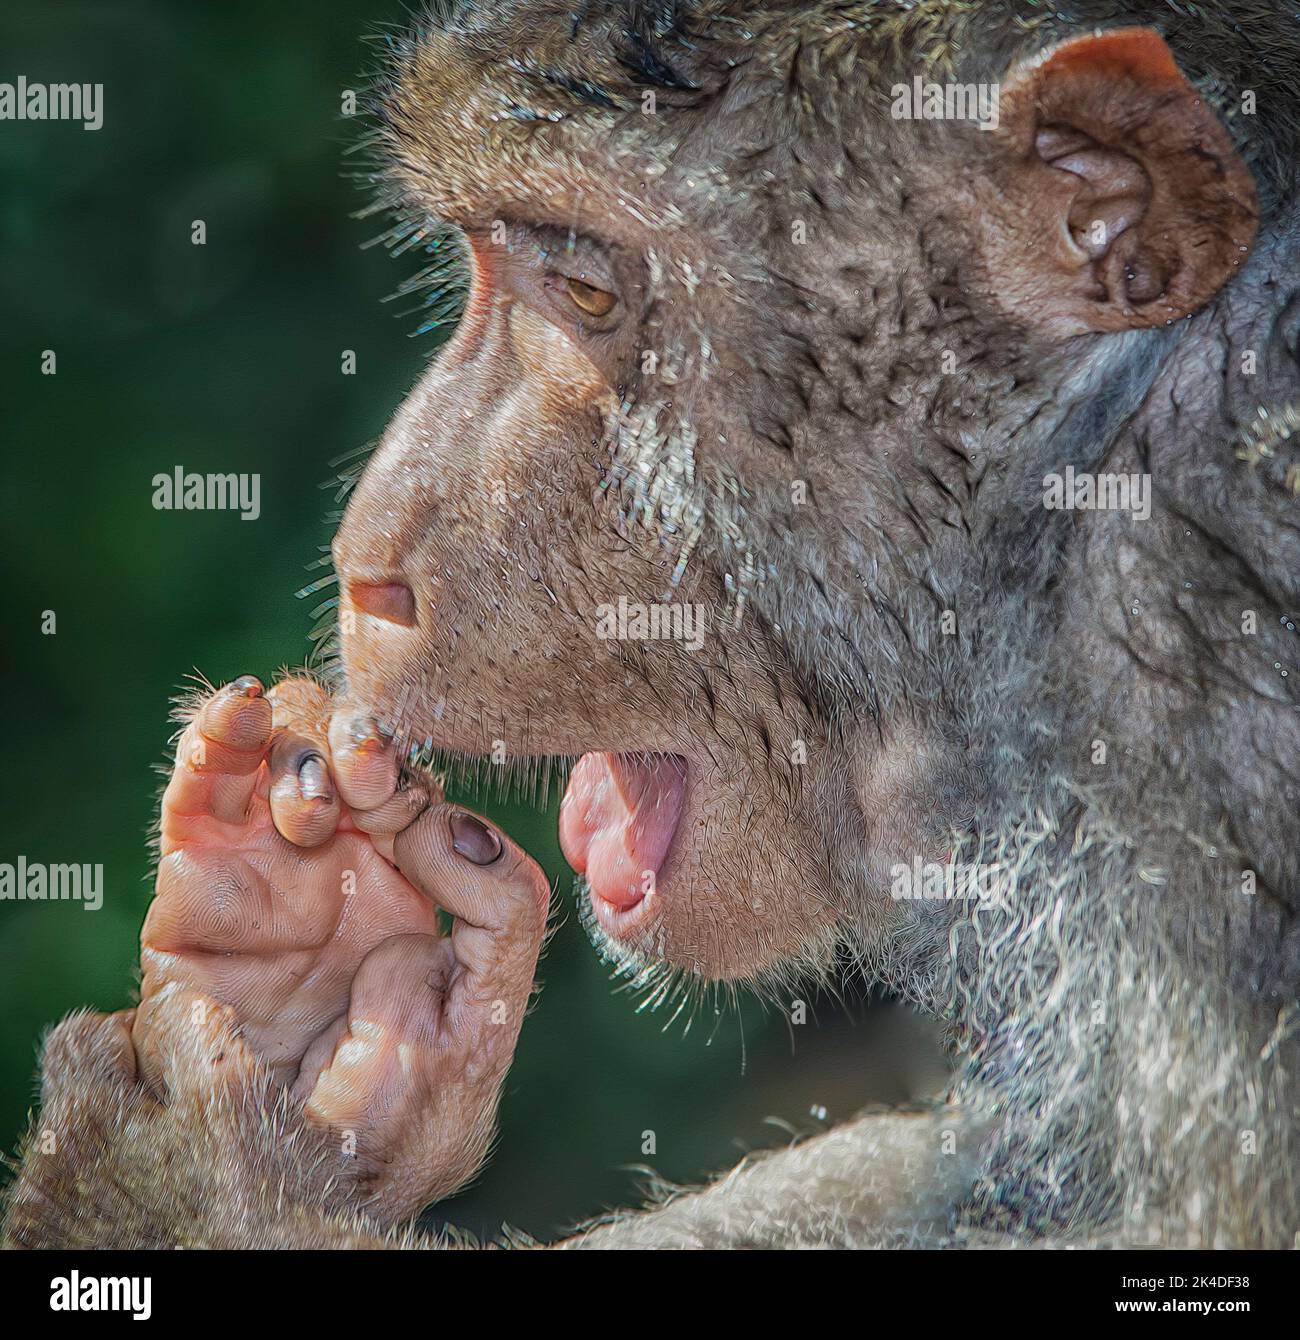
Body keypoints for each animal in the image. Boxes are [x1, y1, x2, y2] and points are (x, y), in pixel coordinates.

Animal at [5, 0, 1299, 1250]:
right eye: (481, 260)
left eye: (584, 293)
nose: (364, 566)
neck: (1066, 487)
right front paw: (302, 997)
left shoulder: (1192, 632)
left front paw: (184, 1190)